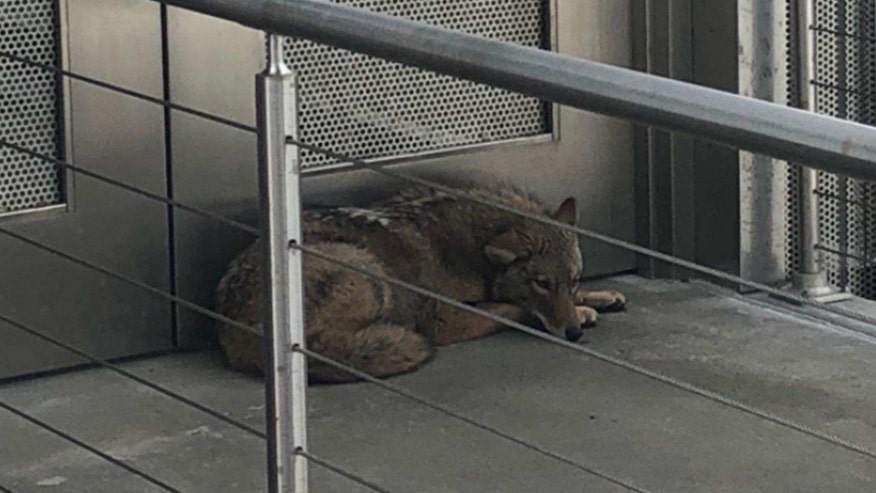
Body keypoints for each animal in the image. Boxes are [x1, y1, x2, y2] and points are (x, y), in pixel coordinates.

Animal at [214, 185, 626, 383]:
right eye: (541, 283)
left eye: (572, 280)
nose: (573, 334)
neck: (473, 249)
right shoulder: (445, 319)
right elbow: (509, 309)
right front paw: (581, 312)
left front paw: (597, 299)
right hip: (368, 272)